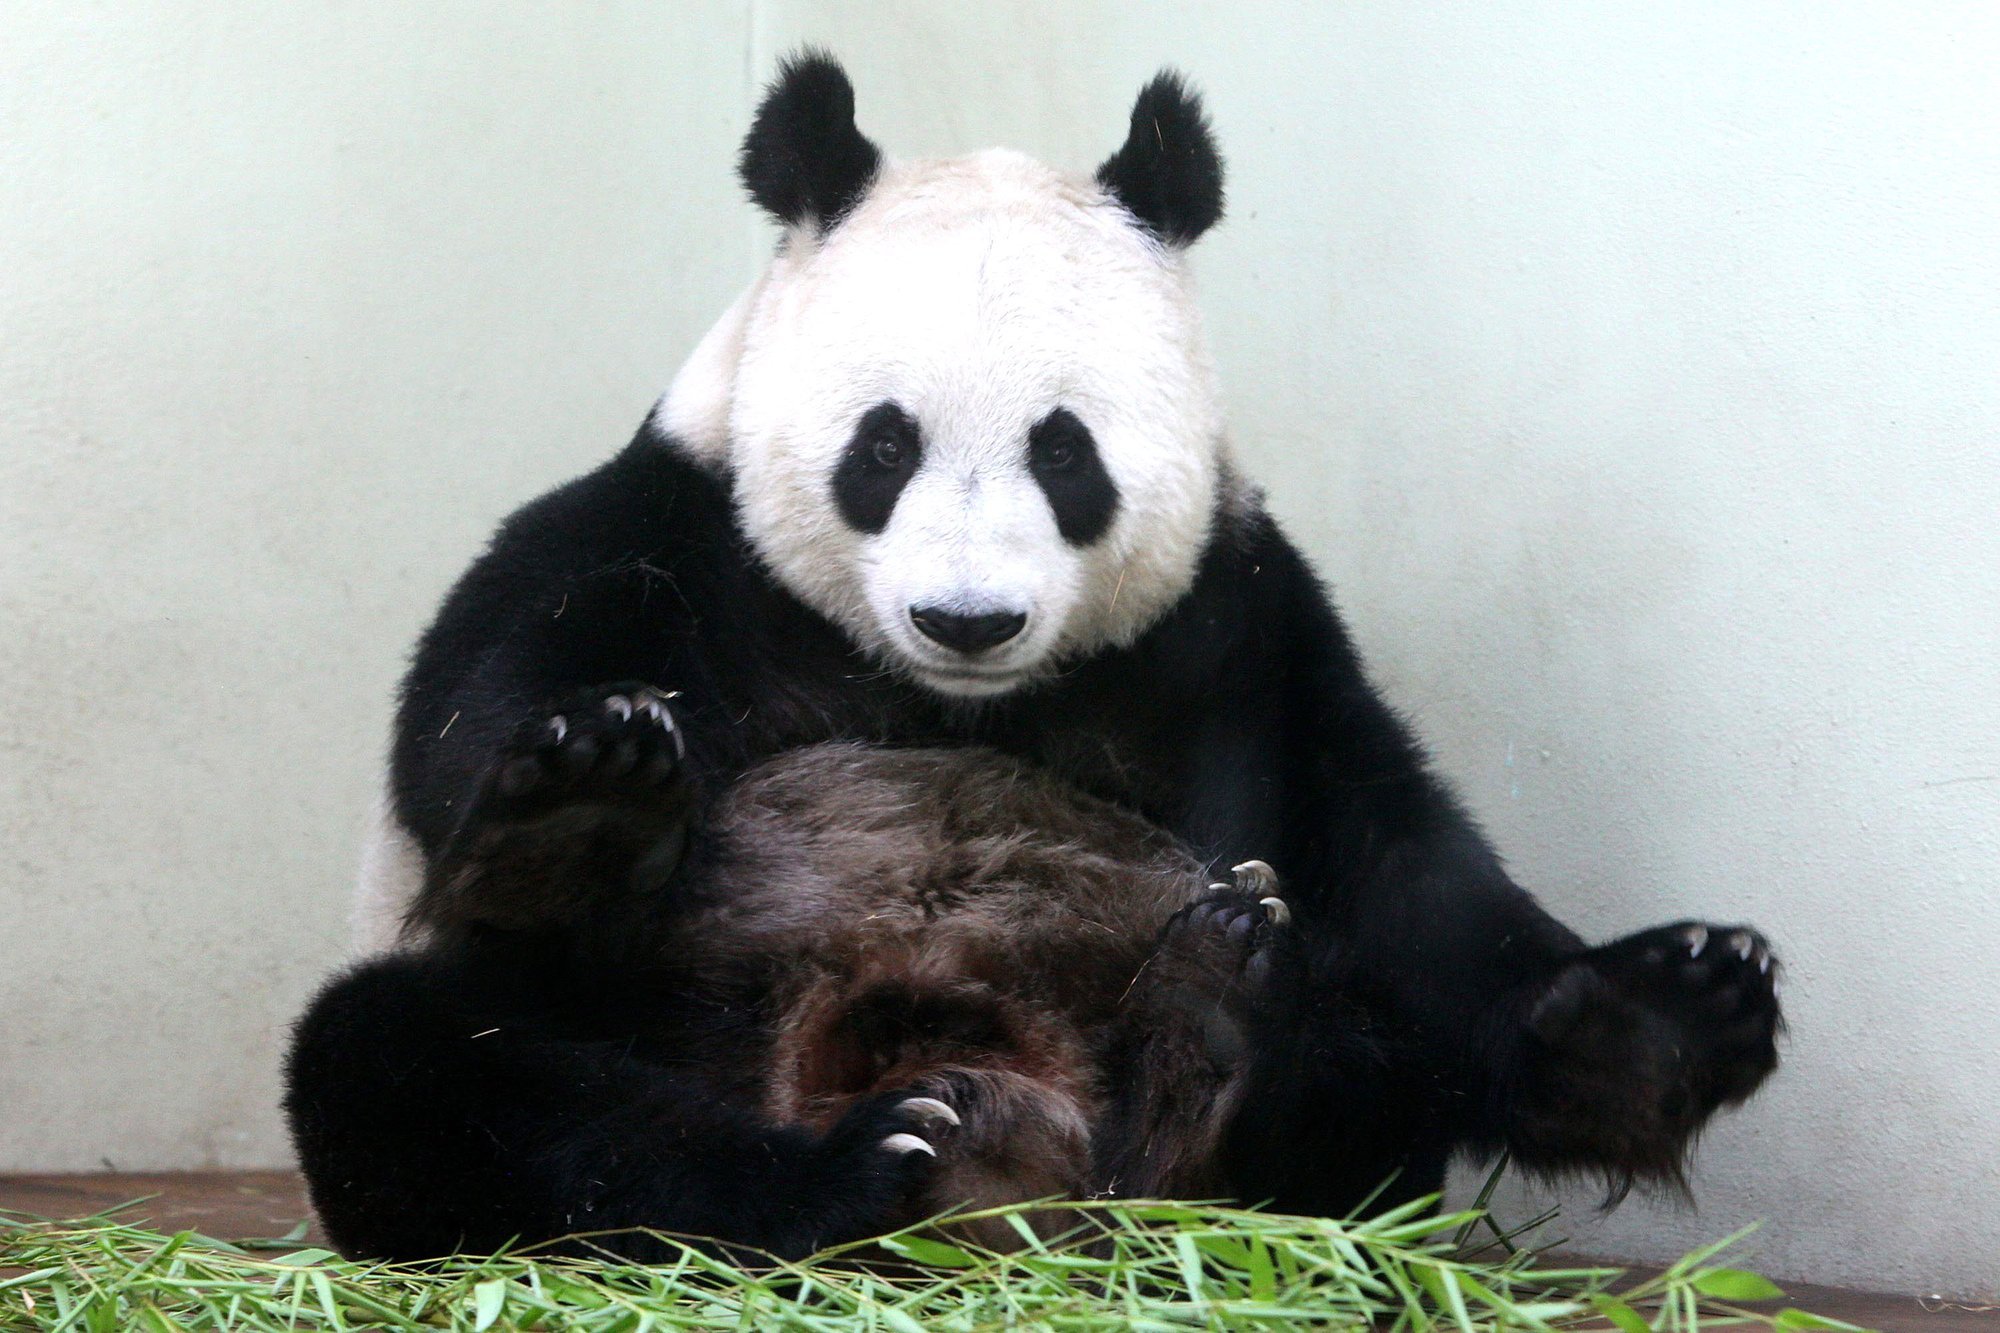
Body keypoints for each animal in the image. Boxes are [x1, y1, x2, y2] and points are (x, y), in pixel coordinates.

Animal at [285, 53, 1782, 1263]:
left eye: (1065, 453)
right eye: (883, 445)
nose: (968, 618)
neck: (954, 701)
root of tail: (1009, 1156)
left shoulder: (1230, 623)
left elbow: (1397, 866)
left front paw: (1655, 1018)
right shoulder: (681, 530)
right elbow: (483, 705)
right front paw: (587, 796)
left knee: (1361, 1085)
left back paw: (1218, 1049)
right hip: (666, 1019)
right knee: (435, 1070)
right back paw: (840, 1175)